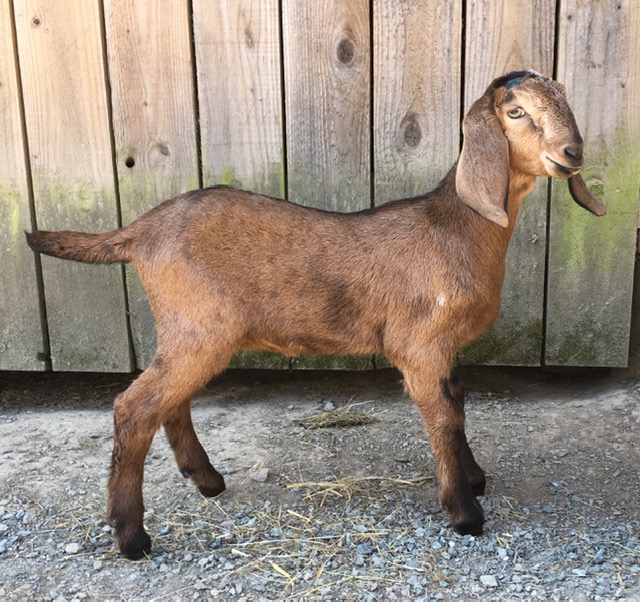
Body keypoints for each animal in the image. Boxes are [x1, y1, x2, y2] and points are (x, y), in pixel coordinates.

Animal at [27, 70, 606, 559]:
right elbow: (442, 418)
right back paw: (131, 536)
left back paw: (206, 481)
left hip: (187, 332)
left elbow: (459, 407)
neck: (458, 227)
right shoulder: (419, 345)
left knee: (169, 401)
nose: (572, 152)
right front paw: (465, 512)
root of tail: (141, 230)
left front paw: (476, 478)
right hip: (198, 330)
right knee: (134, 407)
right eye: (516, 111)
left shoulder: (447, 349)